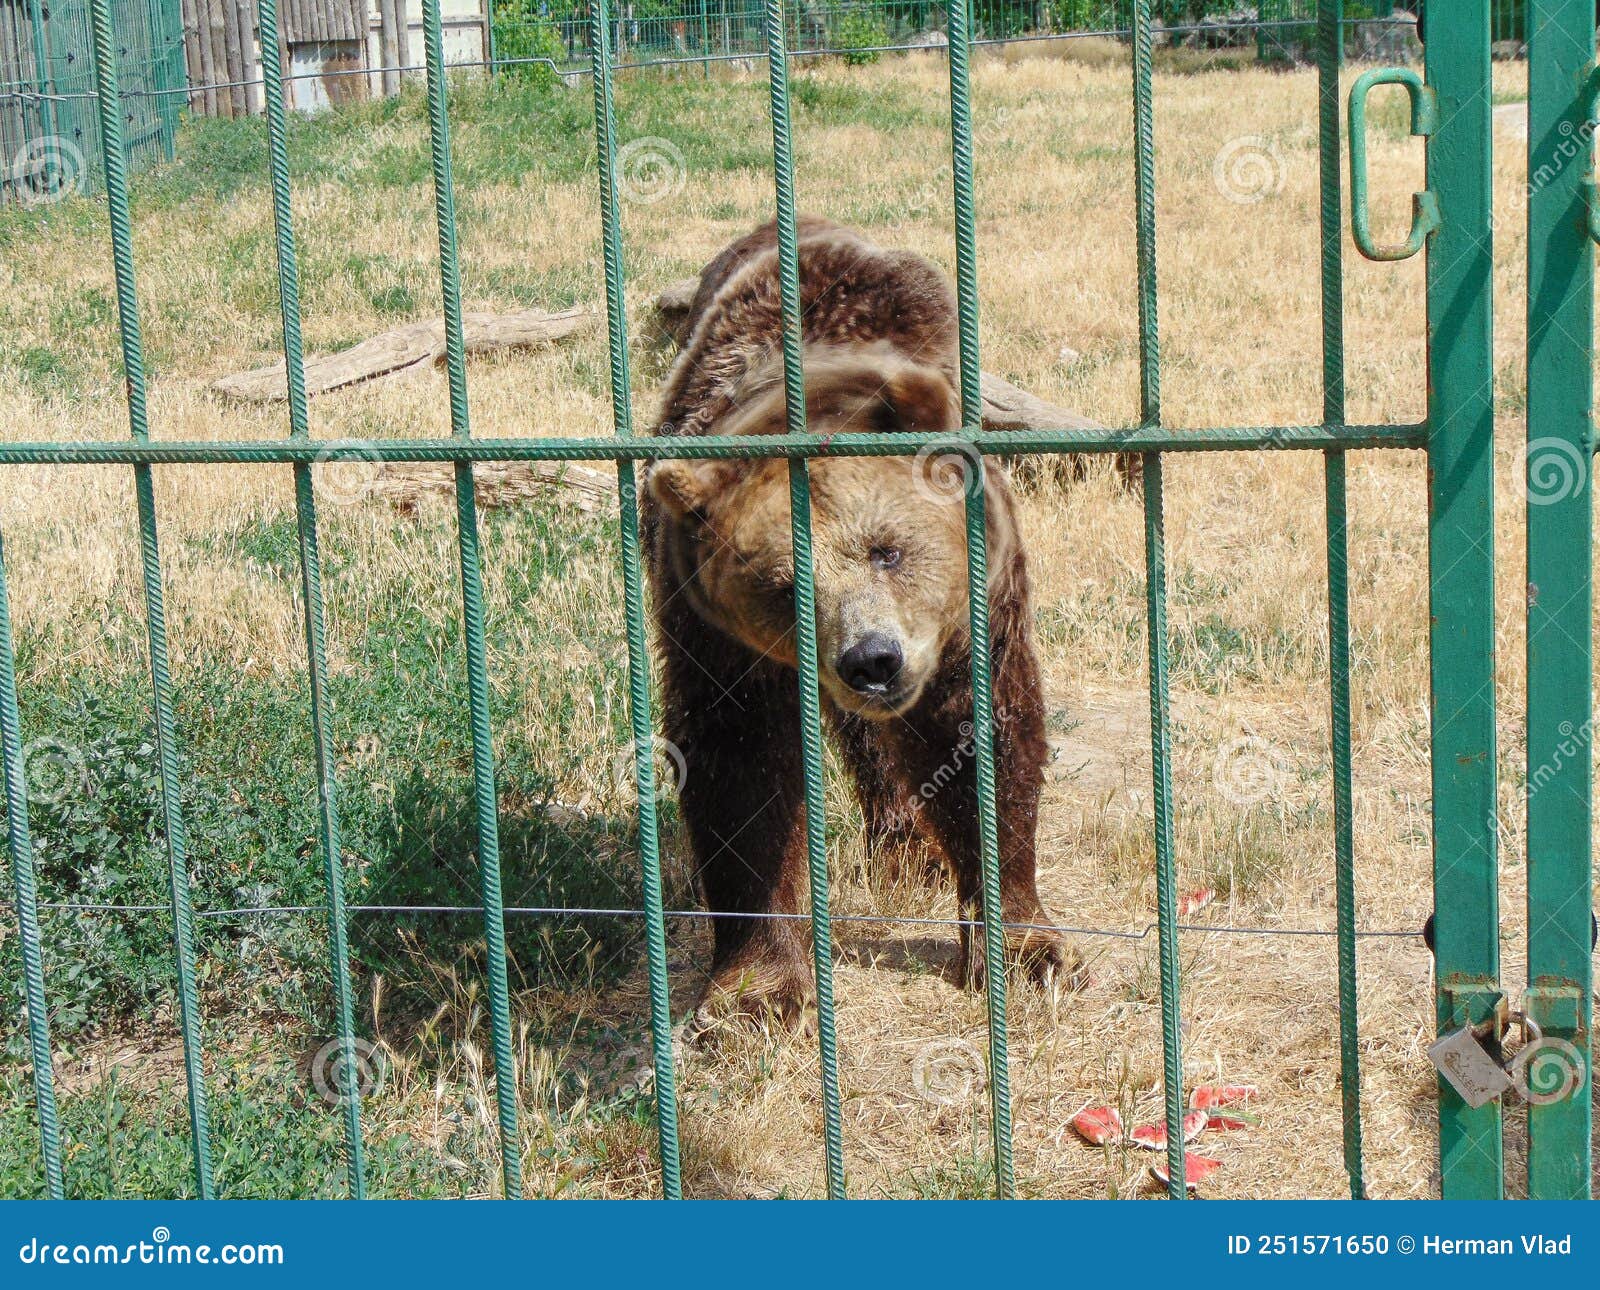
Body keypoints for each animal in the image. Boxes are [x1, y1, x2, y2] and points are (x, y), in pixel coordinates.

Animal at [644, 217, 1068, 1024]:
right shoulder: (714, 634)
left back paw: (909, 849)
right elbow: (742, 771)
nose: (872, 660)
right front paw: (755, 987)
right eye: (781, 586)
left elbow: (980, 739)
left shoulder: (973, 613)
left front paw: (1027, 950)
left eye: (887, 550)